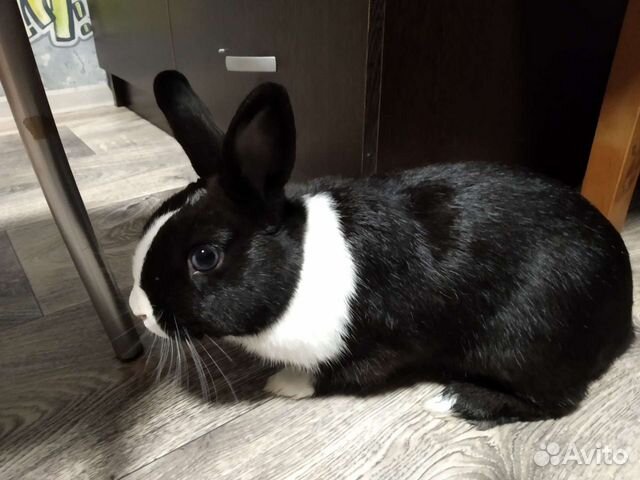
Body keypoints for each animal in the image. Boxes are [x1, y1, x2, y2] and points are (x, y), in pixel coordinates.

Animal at [129, 70, 634, 425]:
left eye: (204, 257)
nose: (137, 310)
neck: (300, 266)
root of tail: (622, 319)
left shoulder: (375, 346)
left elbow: (334, 373)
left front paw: (283, 383)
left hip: (524, 343)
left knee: (557, 401)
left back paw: (453, 400)